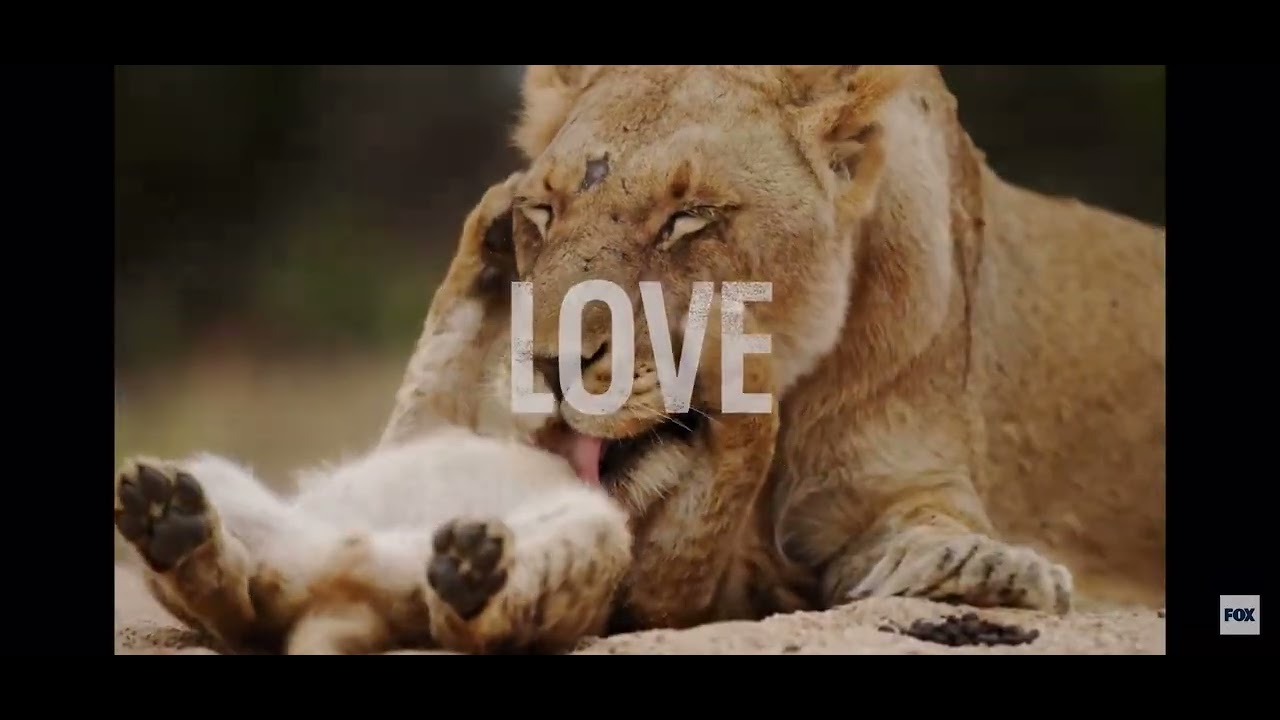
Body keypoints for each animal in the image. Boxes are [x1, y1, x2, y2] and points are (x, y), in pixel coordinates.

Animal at [468, 64, 1163, 625]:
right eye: (541, 212)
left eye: (689, 218)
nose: (546, 364)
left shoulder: (909, 476)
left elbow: (933, 520)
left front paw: (978, 565)